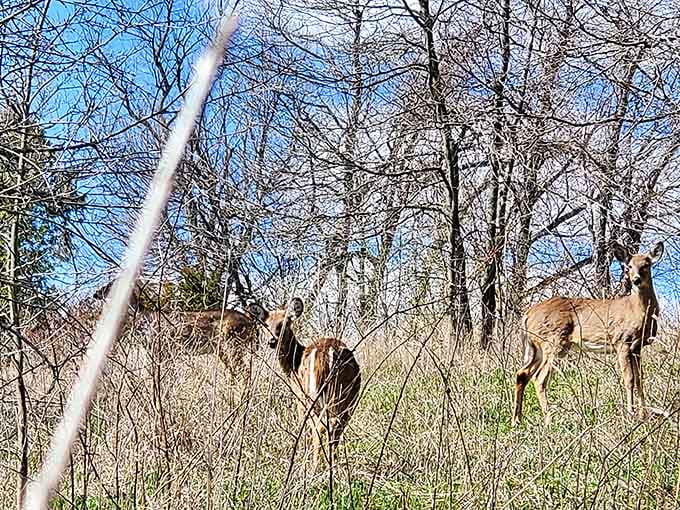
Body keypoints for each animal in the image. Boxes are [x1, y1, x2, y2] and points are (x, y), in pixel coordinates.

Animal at [249, 297, 361, 469]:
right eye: (266, 325)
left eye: (284, 324)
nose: (272, 341)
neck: (293, 365)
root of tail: (329, 354)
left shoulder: (299, 398)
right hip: (347, 396)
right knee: (336, 427)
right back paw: (333, 465)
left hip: (312, 395)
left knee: (320, 427)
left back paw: (315, 467)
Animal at [511, 241, 664, 426]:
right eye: (628, 266)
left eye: (646, 265)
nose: (636, 280)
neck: (638, 311)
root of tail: (527, 315)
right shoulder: (622, 341)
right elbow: (629, 380)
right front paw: (630, 415)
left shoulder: (637, 347)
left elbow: (640, 379)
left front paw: (643, 415)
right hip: (553, 341)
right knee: (539, 378)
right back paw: (549, 421)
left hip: (538, 347)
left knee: (522, 374)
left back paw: (516, 421)